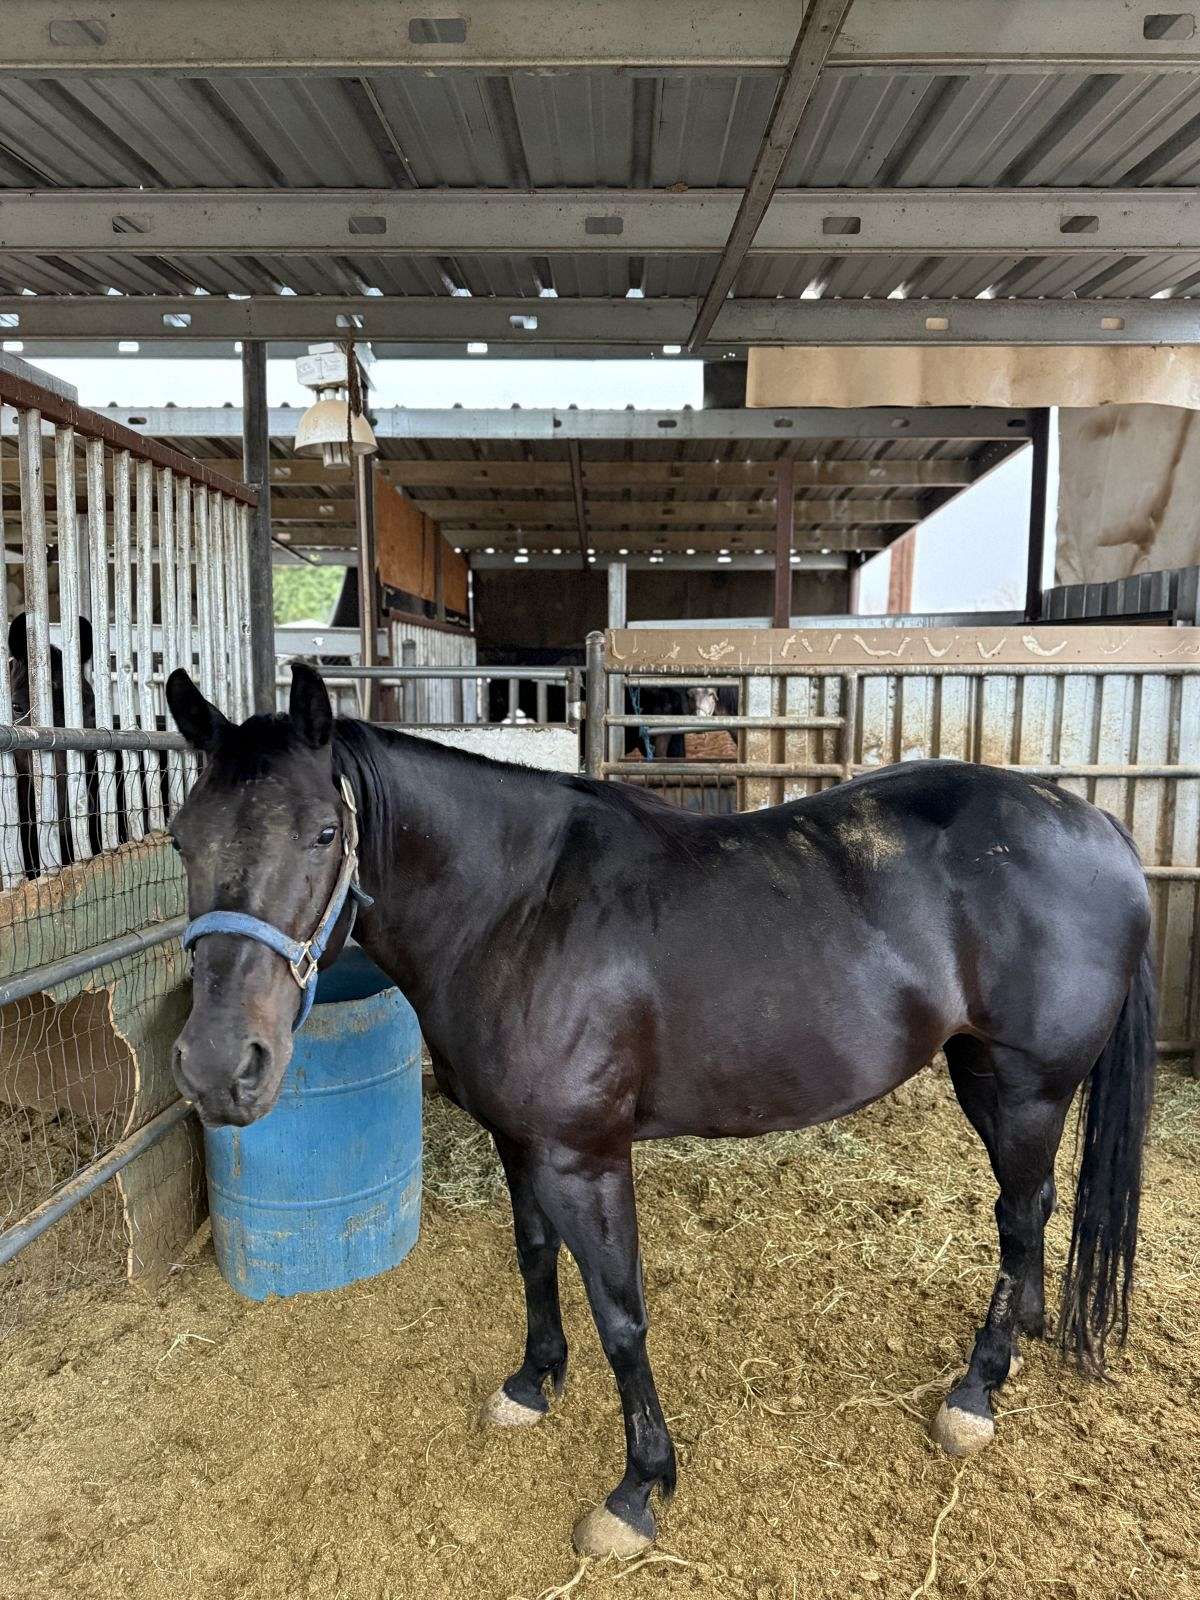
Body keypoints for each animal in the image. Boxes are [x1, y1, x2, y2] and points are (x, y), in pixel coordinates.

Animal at [165, 661, 1156, 1560]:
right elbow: (533, 1257)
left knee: (1021, 1210)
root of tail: (1099, 826)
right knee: (1030, 1211)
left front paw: (638, 1489)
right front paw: (533, 1382)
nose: (218, 1066)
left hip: (1024, 1084)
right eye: (180, 839)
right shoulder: (520, 1142)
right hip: (984, 1075)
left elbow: (621, 1313)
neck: (518, 910)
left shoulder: (587, 1157)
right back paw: (1019, 1339)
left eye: (325, 832)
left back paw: (975, 1391)